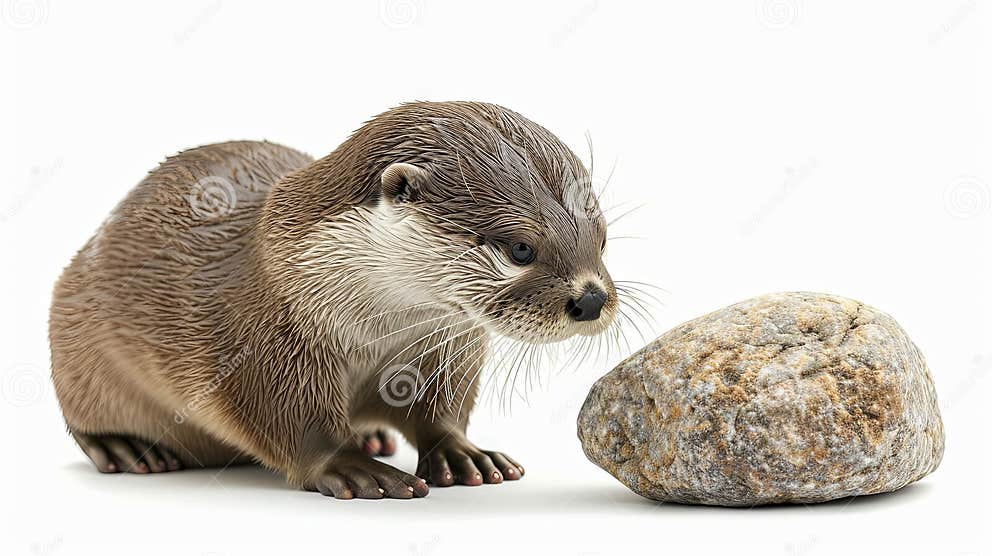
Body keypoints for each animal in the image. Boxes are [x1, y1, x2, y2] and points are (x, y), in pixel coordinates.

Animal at [49, 101, 617, 499]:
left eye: (602, 239)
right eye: (520, 248)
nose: (590, 300)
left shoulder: (449, 346)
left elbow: (442, 408)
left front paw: (463, 454)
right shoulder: (267, 341)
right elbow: (289, 419)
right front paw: (352, 468)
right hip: (74, 334)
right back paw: (125, 447)